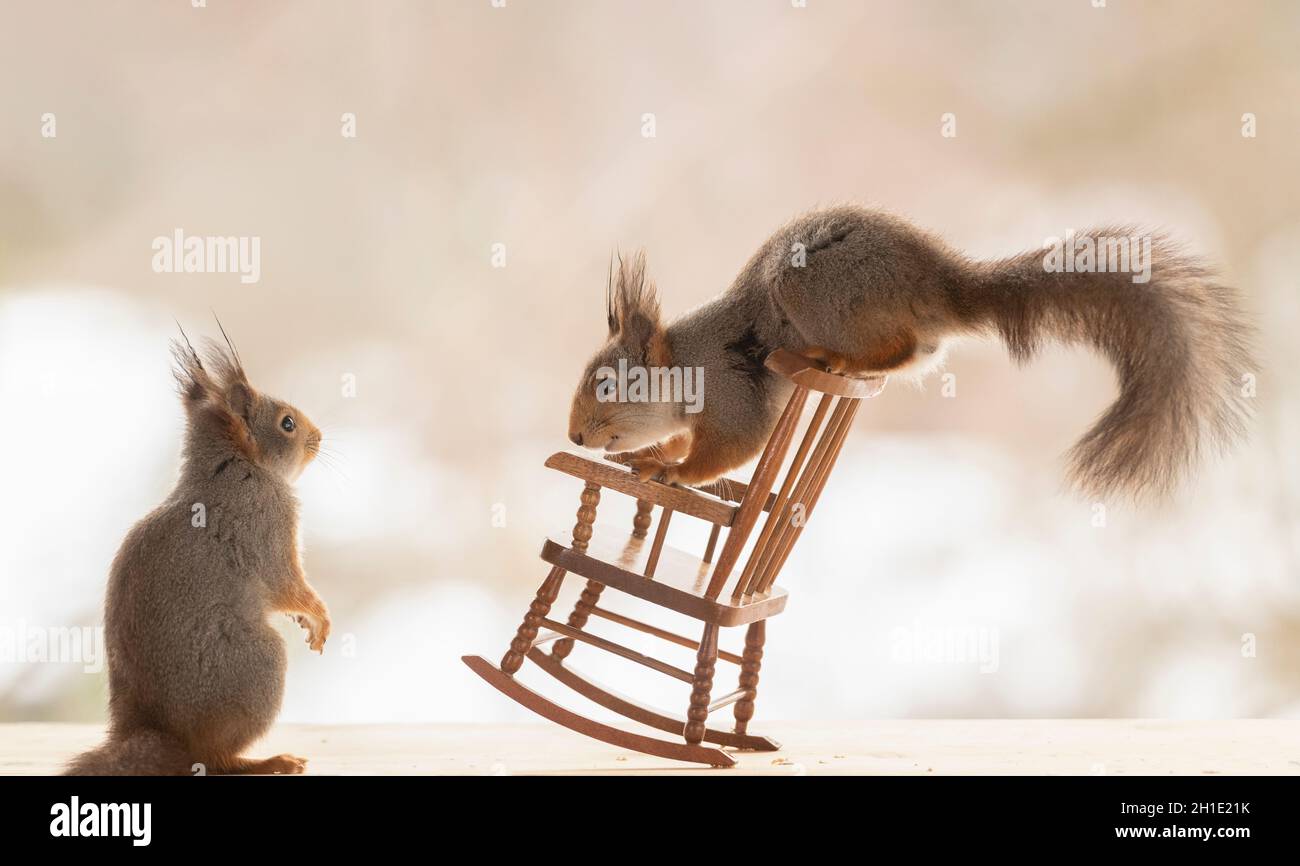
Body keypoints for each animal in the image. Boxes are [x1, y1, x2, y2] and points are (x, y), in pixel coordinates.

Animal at [65, 328, 330, 775]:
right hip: (257, 664)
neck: (237, 465)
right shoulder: (268, 522)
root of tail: (164, 734)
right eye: (287, 424)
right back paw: (267, 761)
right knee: (213, 757)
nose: (320, 437)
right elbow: (286, 583)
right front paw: (317, 616)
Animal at [567, 205, 1255, 500]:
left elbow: (731, 449)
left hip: (814, 287)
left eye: (612, 387)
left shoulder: (734, 392)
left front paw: (672, 472)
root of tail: (942, 286)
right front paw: (657, 453)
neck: (690, 365)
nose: (575, 436)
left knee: (896, 351)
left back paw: (838, 359)